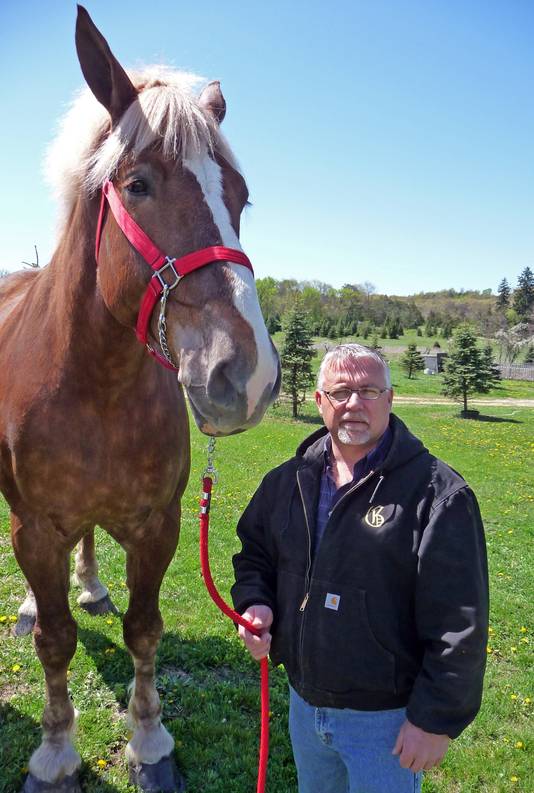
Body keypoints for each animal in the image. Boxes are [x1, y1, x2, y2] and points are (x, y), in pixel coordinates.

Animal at [0, 6, 280, 792]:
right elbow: (58, 641)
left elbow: (143, 629)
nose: (246, 375)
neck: (97, 384)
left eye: (239, 195)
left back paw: (92, 584)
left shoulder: (158, 525)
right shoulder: (36, 529)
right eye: (139, 184)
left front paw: (149, 740)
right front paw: (56, 751)